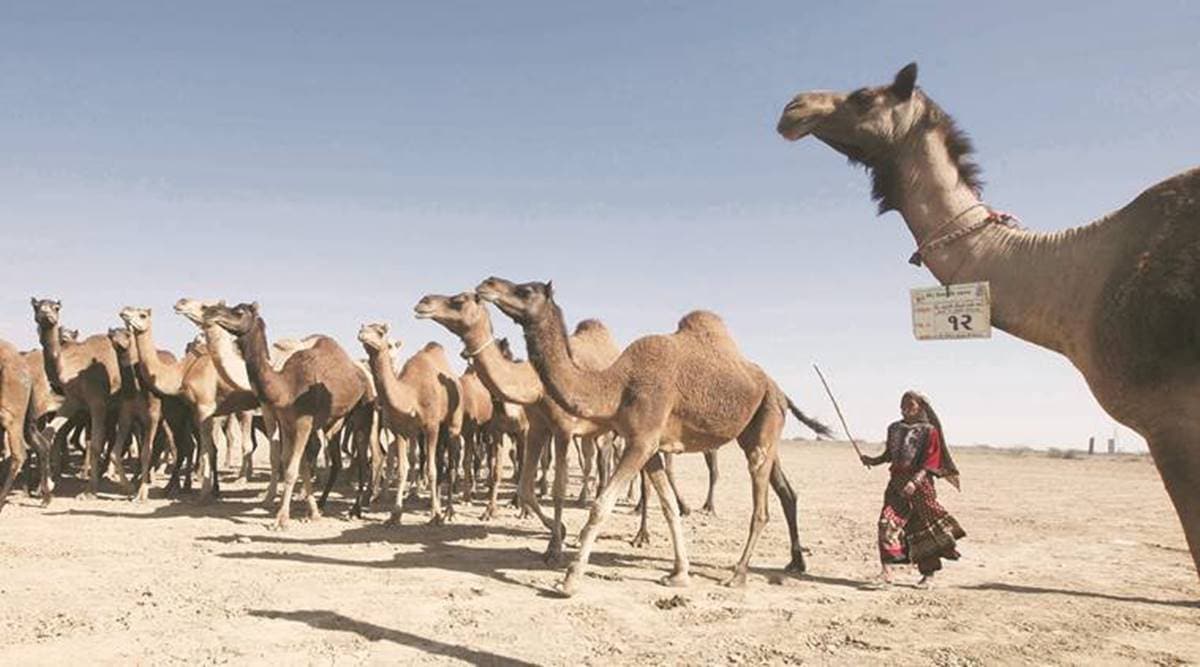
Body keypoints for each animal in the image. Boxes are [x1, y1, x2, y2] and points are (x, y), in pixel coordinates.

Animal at [31, 299, 122, 498]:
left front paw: (90, 491)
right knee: (113, 436)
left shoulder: (97, 402)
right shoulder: (73, 401)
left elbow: (95, 443)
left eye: (56, 307)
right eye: (37, 306)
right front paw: (45, 486)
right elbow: (48, 435)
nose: (46, 314)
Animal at [203, 302, 372, 529]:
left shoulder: (304, 423)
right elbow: (300, 467)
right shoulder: (288, 424)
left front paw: (281, 519)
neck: (285, 388)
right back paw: (324, 503)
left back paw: (355, 510)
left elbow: (292, 470)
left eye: (239, 311)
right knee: (337, 457)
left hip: (363, 413)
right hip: (334, 422)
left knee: (363, 459)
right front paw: (313, 513)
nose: (210, 312)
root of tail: (361, 372)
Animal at [357, 324, 463, 525]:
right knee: (439, 462)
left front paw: (436, 516)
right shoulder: (401, 430)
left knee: (451, 465)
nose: (362, 335)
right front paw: (395, 514)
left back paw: (448, 511)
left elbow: (431, 470)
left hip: (452, 423)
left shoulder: (431, 427)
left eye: (381, 332)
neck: (411, 395)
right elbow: (402, 469)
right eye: (363, 326)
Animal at [475, 278, 831, 596]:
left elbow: (601, 506)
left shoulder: (641, 441)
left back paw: (739, 574)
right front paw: (679, 574)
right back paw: (795, 562)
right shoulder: (650, 447)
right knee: (785, 490)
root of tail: (779, 389)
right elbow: (669, 506)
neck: (617, 385)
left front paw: (569, 581)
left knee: (761, 508)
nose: (486, 284)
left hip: (765, 423)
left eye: (525, 290)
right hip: (757, 431)